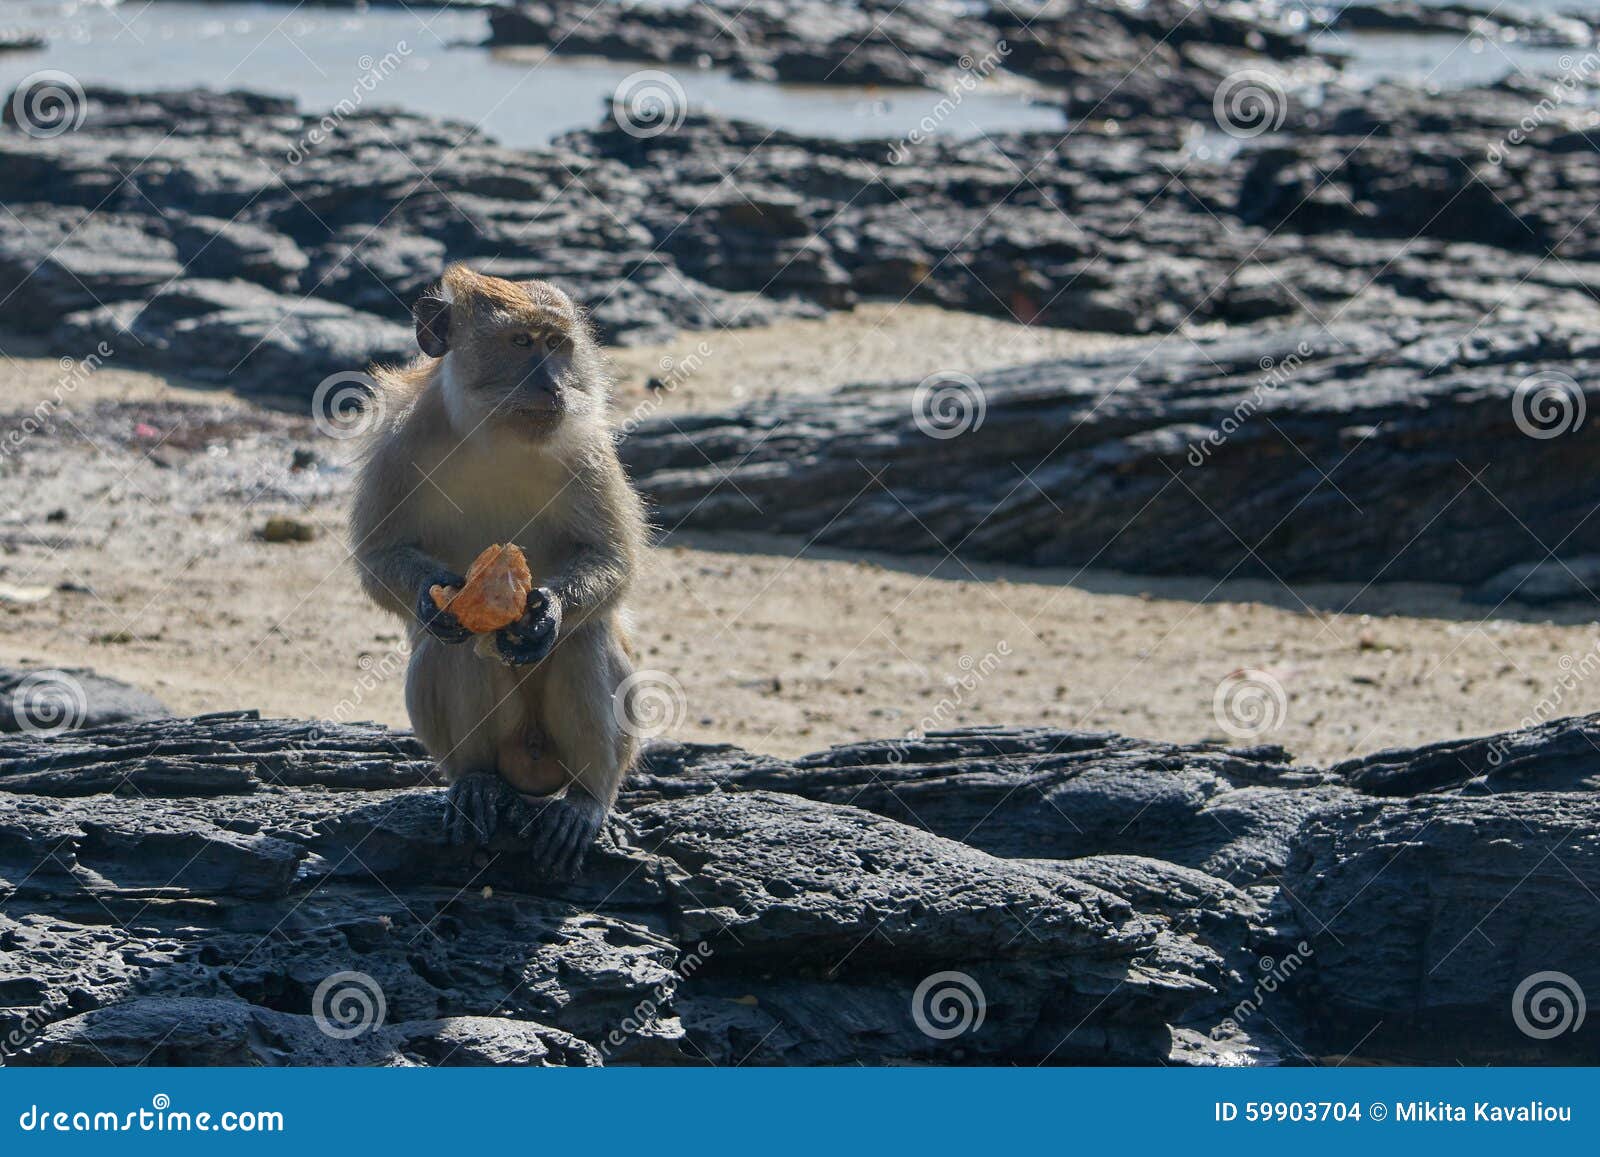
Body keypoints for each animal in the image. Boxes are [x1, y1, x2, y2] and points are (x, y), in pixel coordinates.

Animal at [349, 264, 649, 879]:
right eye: (520, 343)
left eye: (556, 344)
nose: (552, 387)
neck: (495, 433)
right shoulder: (399, 441)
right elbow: (378, 554)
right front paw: (430, 598)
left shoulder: (588, 448)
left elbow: (612, 556)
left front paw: (546, 615)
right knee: (455, 642)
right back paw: (477, 782)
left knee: (586, 638)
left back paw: (585, 801)